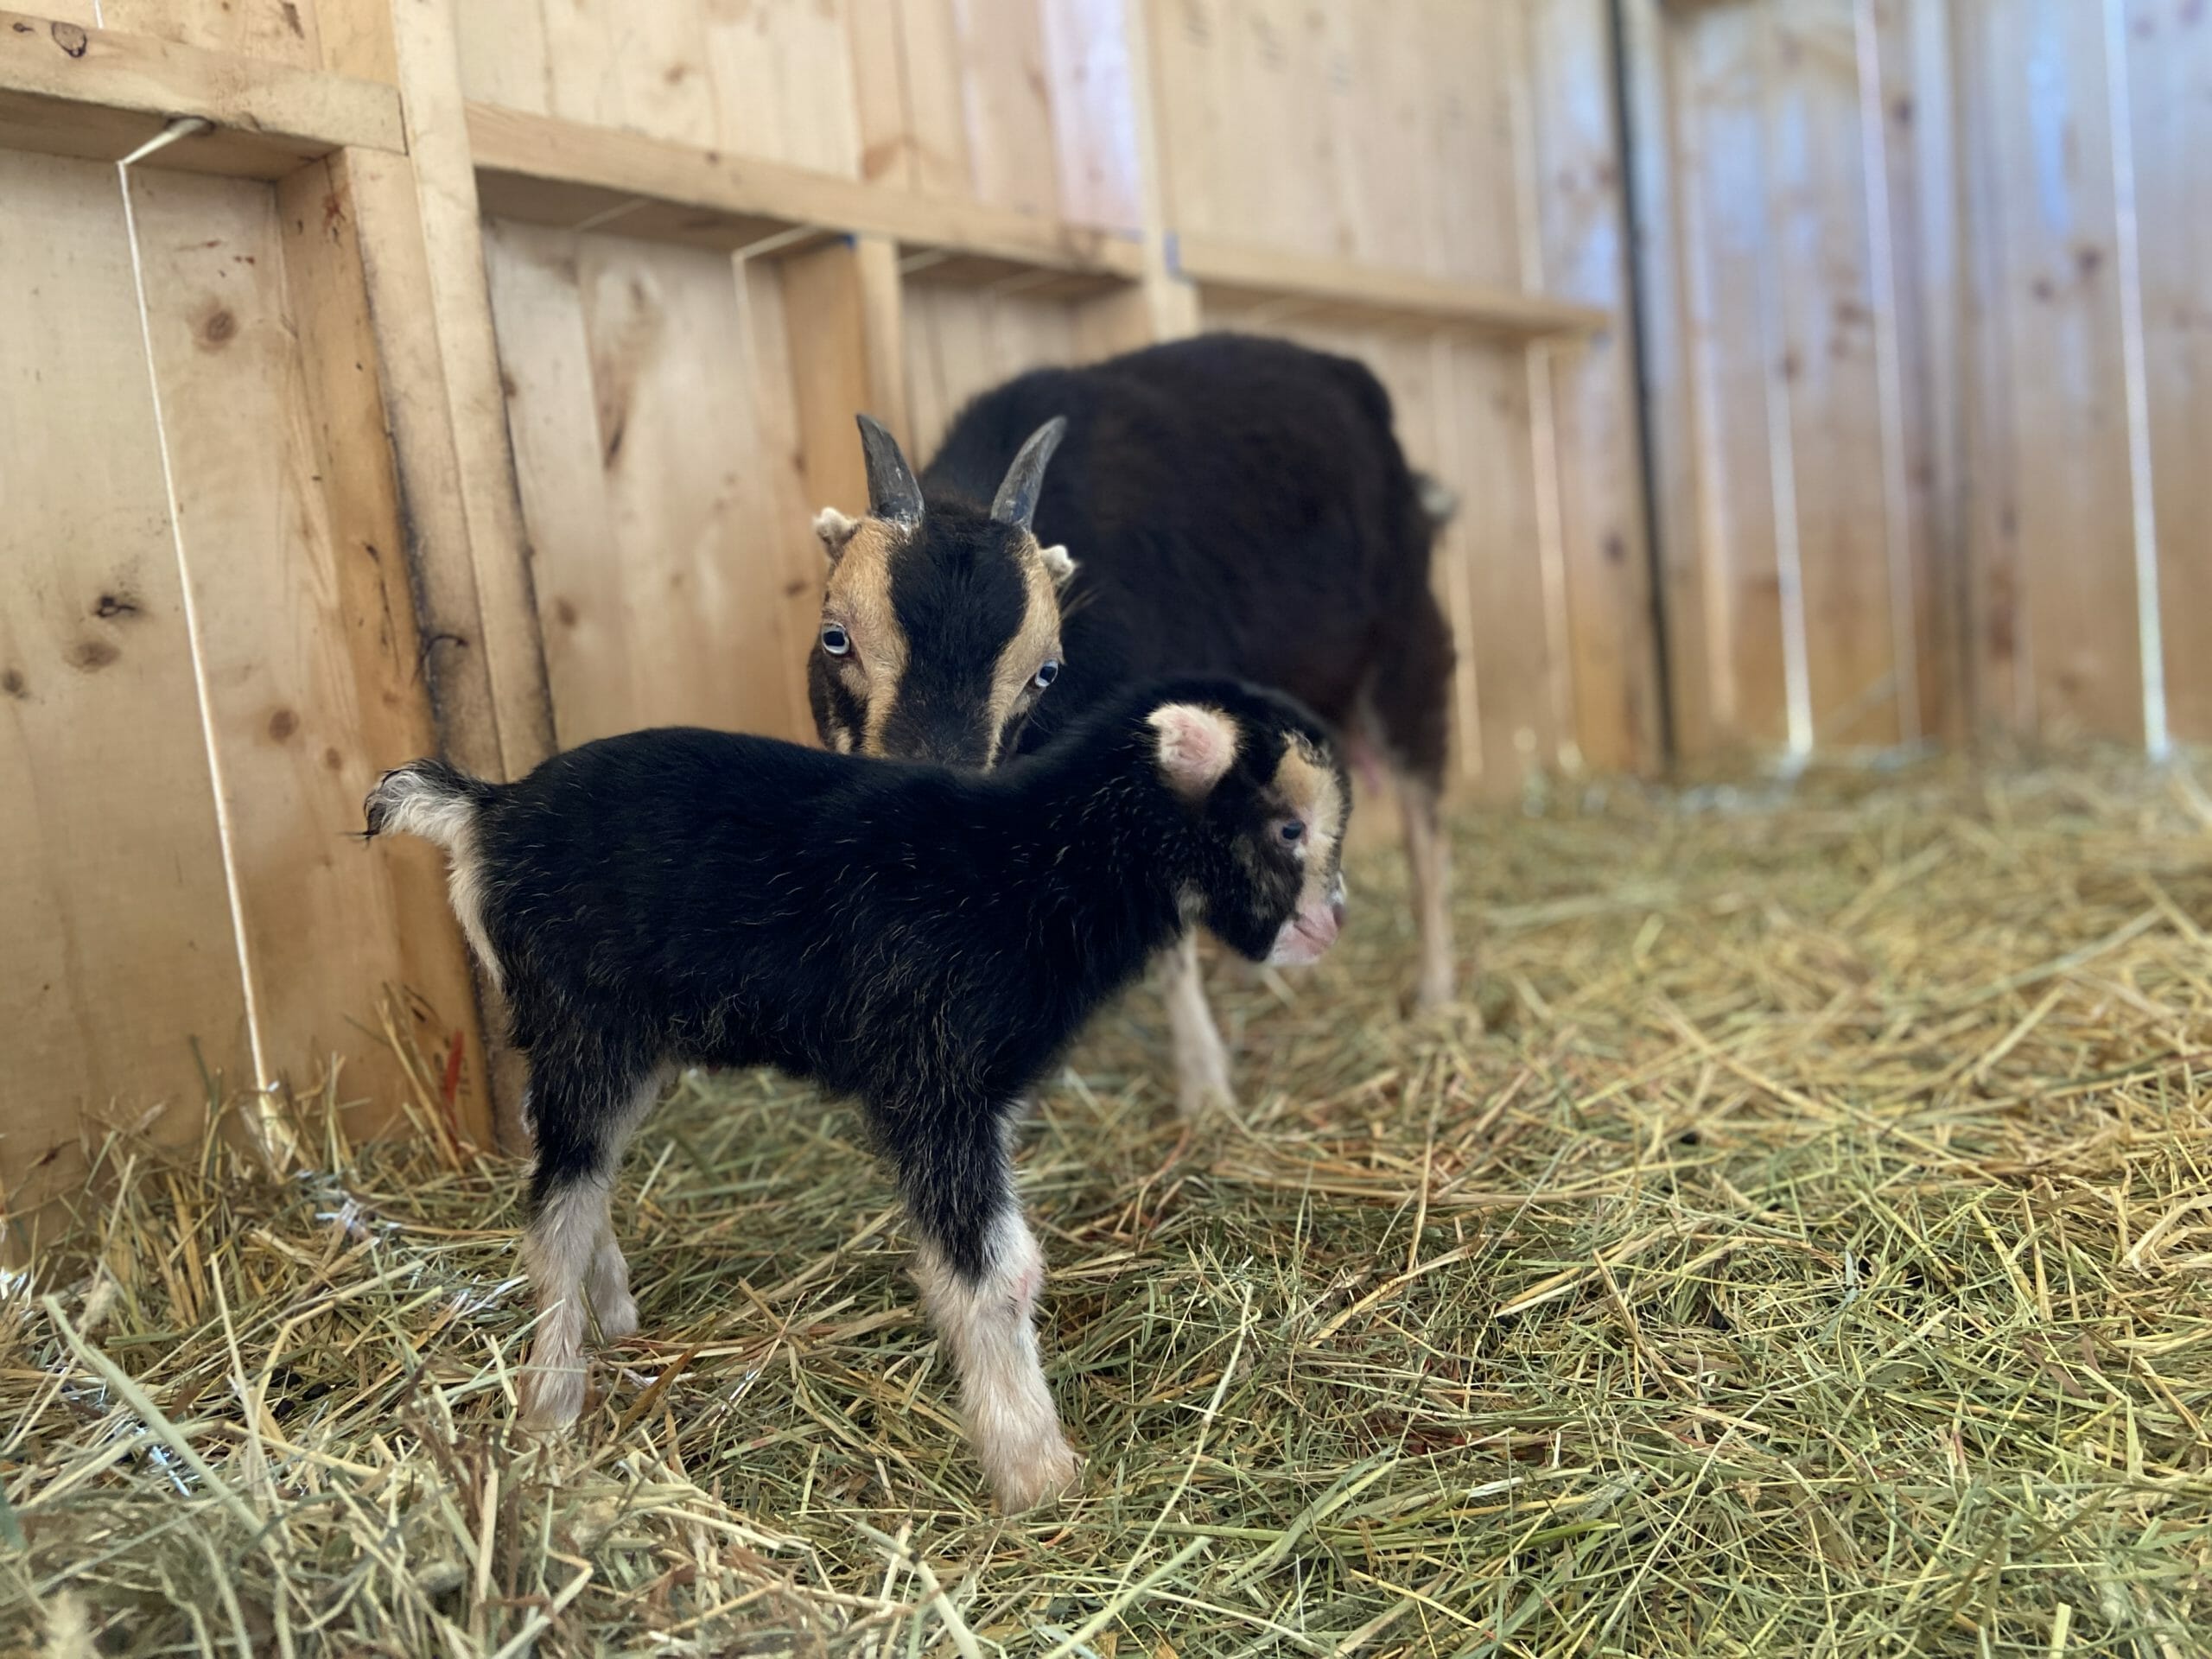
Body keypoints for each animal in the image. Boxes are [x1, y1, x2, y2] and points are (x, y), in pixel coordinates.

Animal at [365, 678, 1349, 1509]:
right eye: (1289, 830)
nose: (1328, 926)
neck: (1031, 867)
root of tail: (487, 813)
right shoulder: (937, 1085)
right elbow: (998, 1274)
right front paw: (1037, 1473)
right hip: (588, 1026)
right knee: (555, 1210)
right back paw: (551, 1406)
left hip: (618, 1044)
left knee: (570, 1161)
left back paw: (609, 1312)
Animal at [807, 334, 1459, 1118]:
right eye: (835, 639)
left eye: (1046, 671)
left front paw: (1206, 1094)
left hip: (1404, 644)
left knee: (1425, 812)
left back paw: (1435, 994)